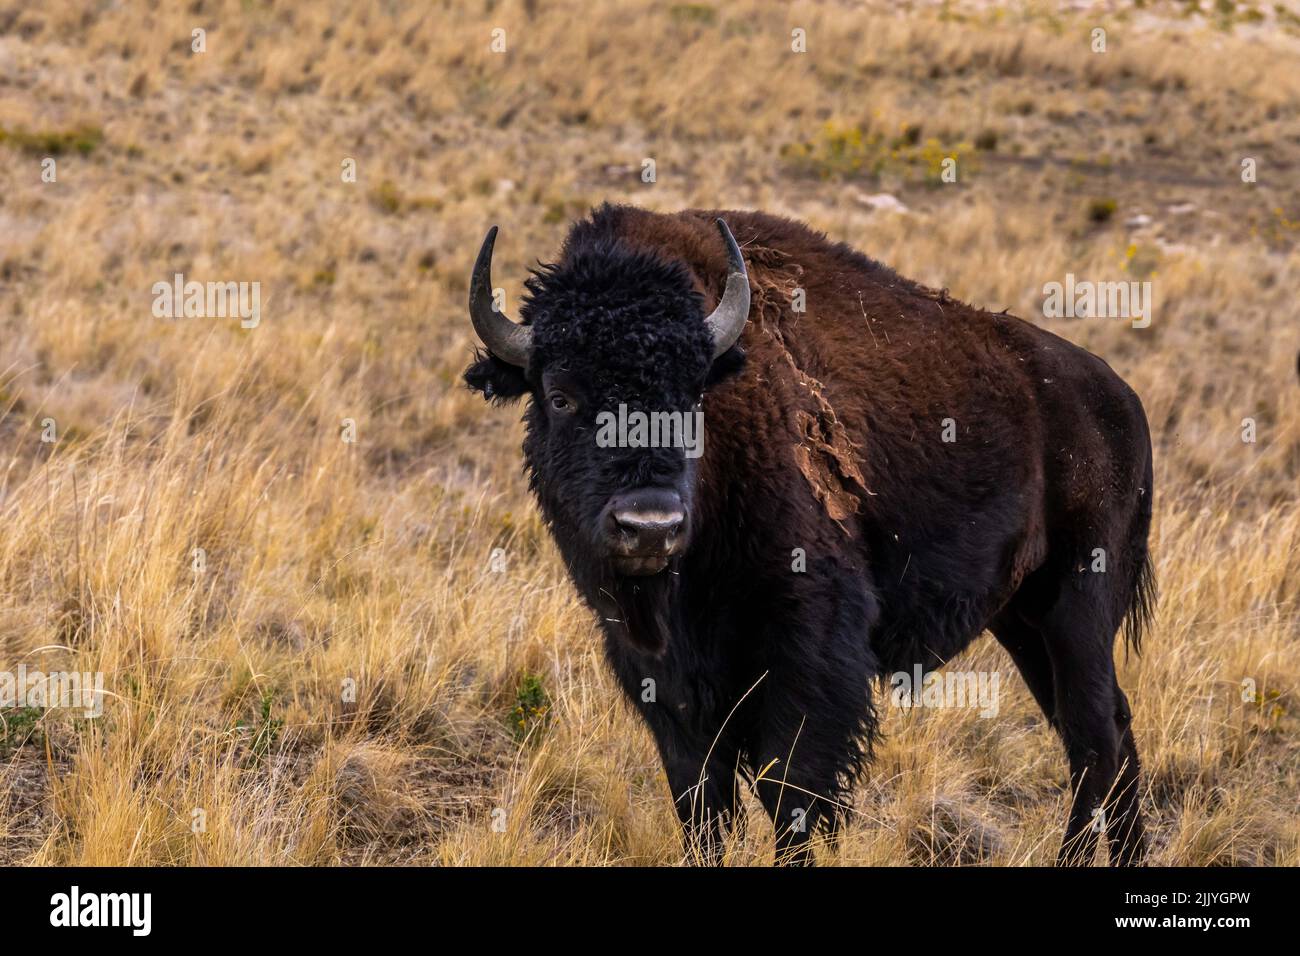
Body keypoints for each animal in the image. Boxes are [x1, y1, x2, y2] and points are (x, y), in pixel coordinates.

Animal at [464, 204, 1155, 866]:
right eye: (559, 396)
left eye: (693, 397)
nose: (649, 525)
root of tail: (1122, 401)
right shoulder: (663, 680)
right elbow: (701, 804)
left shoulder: (810, 650)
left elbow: (790, 789)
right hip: (1021, 619)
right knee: (1107, 729)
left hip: (1078, 608)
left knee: (1094, 735)